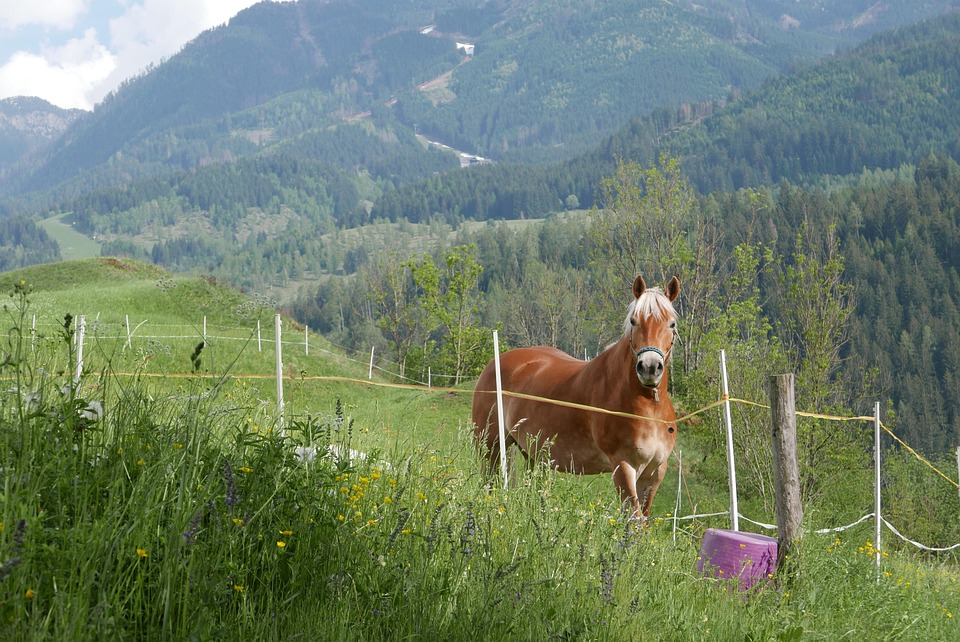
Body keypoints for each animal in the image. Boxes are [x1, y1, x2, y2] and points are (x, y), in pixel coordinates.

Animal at [472, 274, 680, 519]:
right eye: (633, 321)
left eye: (672, 324)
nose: (649, 367)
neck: (648, 405)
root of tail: (494, 363)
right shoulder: (623, 466)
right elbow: (634, 519)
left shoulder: (655, 470)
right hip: (490, 448)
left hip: (534, 455)